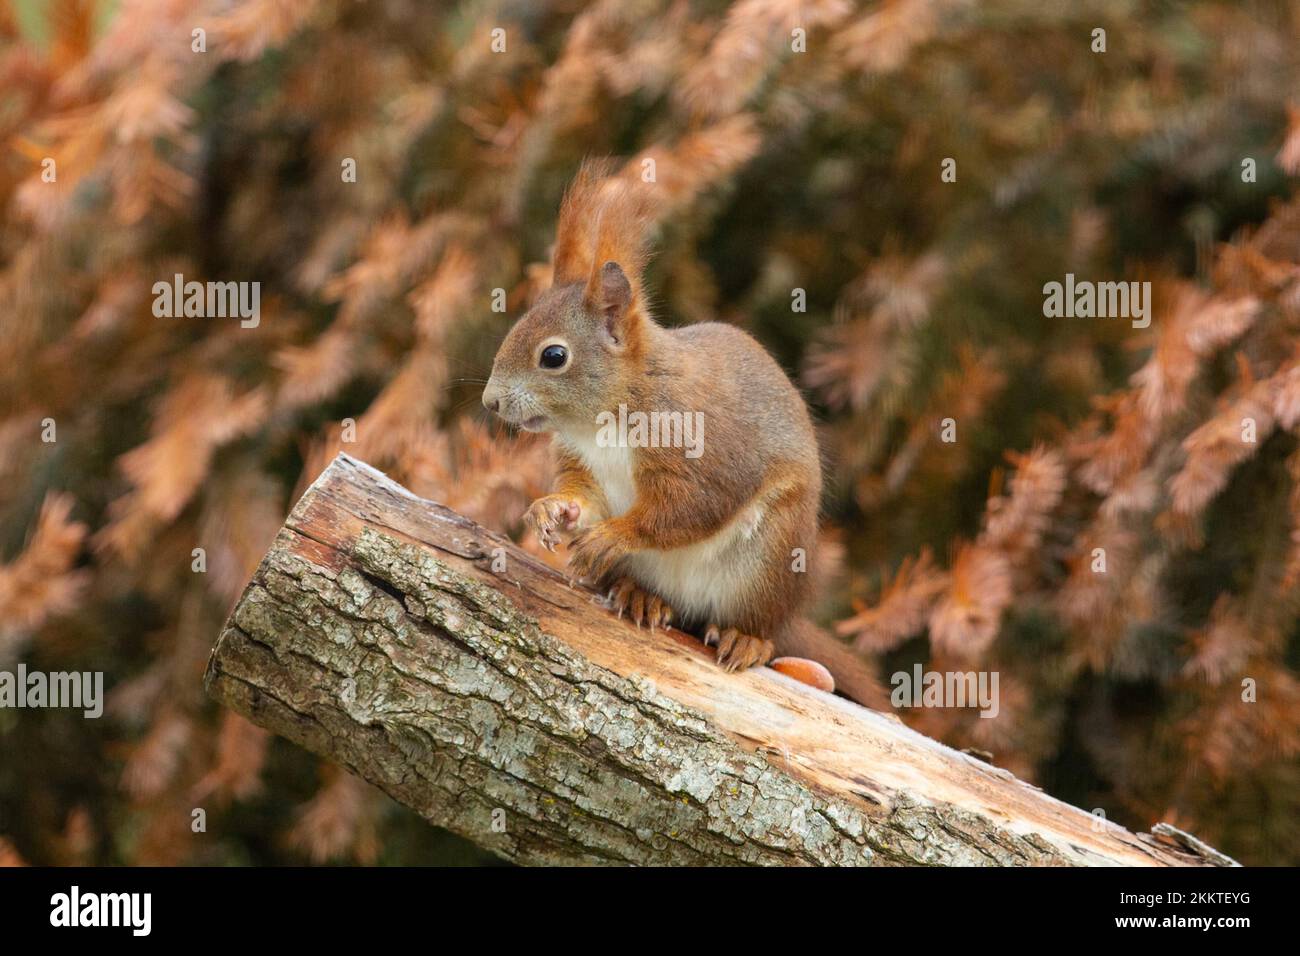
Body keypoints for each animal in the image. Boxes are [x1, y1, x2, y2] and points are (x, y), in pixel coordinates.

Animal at [482, 162, 879, 706]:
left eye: (554, 356)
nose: (490, 401)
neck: (602, 420)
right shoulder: (581, 461)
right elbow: (583, 495)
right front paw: (552, 509)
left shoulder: (699, 452)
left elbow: (685, 509)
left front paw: (613, 535)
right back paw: (640, 596)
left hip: (771, 558)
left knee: (758, 621)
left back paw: (745, 638)